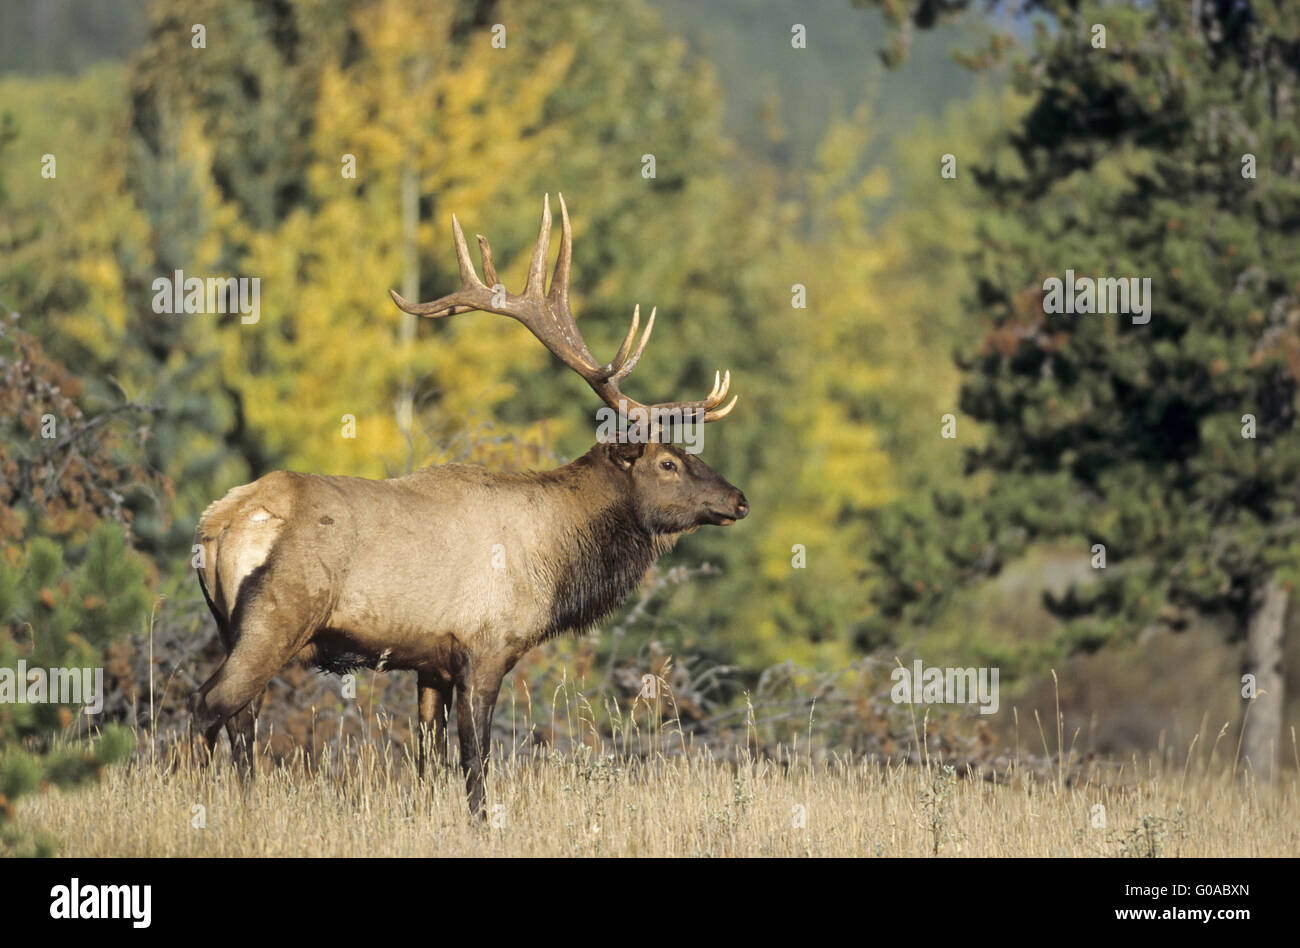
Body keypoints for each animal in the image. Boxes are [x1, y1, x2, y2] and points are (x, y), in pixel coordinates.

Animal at [191, 194, 748, 814]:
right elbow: (475, 761)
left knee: (241, 718)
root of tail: (216, 526)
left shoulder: (431, 663)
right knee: (208, 705)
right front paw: (483, 820)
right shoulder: (485, 647)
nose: (738, 499)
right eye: (668, 462)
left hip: (229, 626)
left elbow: (427, 760)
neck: (553, 560)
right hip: (276, 619)